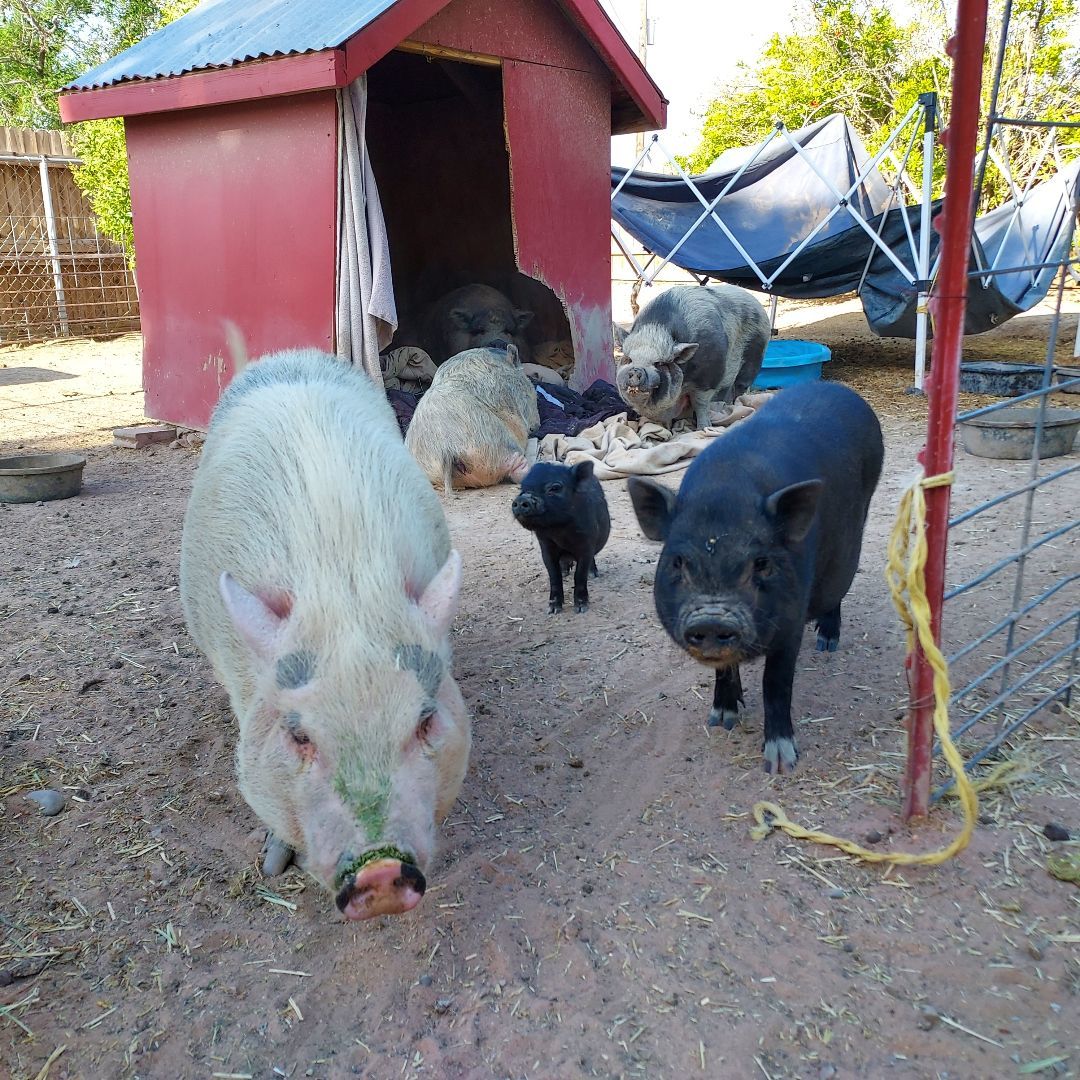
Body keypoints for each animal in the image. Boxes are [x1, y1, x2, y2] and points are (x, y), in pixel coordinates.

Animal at [511, 460, 611, 614]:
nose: (522, 498)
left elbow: (580, 575)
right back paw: (565, 572)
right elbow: (554, 575)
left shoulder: (587, 544)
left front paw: (581, 609)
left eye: (555, 487)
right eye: (522, 487)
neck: (560, 532)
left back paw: (593, 575)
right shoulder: (545, 546)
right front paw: (552, 610)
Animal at [616, 284, 770, 430]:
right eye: (629, 359)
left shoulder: (709, 378)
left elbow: (700, 403)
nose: (635, 370)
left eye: (659, 363)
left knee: (740, 387)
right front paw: (666, 428)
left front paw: (703, 428)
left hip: (754, 357)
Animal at [627, 382, 883, 774]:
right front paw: (721, 720)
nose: (712, 618)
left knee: (837, 590)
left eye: (760, 563)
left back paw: (827, 642)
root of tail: (842, 389)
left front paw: (781, 763)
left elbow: (775, 682)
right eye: (678, 562)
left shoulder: (791, 617)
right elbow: (723, 670)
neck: (726, 496)